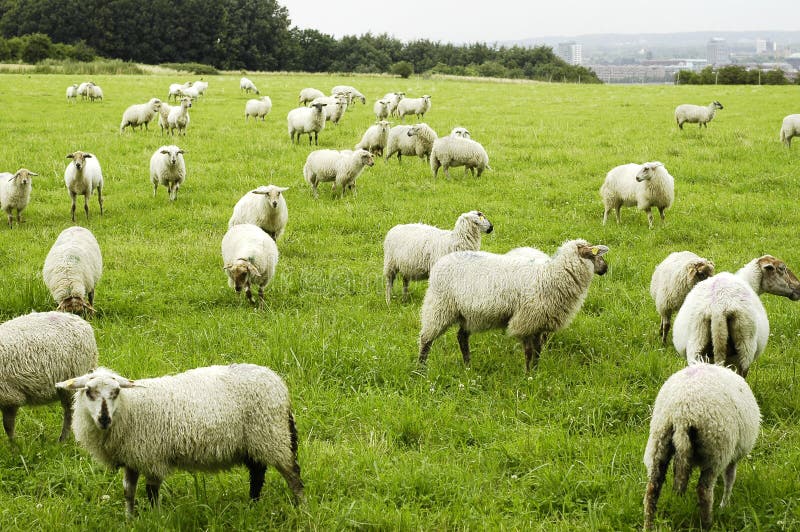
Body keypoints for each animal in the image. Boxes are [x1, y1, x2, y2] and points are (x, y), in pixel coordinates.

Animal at [0, 311, 98, 442]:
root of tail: (79, 319)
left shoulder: (10, 397)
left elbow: (8, 425)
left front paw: (14, 445)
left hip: (74, 381)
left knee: (70, 413)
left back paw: (63, 440)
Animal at [56, 364, 304, 515]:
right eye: (89, 392)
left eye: (116, 392)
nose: (104, 419)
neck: (129, 408)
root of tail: (276, 380)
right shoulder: (132, 458)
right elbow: (128, 492)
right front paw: (130, 519)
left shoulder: (151, 456)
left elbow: (151, 492)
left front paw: (155, 518)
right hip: (253, 443)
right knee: (257, 474)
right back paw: (252, 505)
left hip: (272, 435)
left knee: (292, 474)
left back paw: (301, 507)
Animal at [418, 239, 609, 372]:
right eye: (595, 255)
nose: (606, 268)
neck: (550, 276)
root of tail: (442, 261)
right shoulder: (525, 320)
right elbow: (529, 351)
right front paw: (528, 375)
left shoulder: (539, 322)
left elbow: (538, 350)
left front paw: (536, 372)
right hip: (439, 305)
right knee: (426, 339)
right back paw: (420, 369)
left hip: (468, 314)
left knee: (462, 338)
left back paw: (467, 366)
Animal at [643, 363, 760, 530]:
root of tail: (682, 413)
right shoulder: (733, 455)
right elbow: (730, 478)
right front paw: (725, 505)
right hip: (717, 450)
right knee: (704, 490)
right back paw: (708, 524)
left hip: (658, 441)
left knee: (652, 488)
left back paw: (648, 525)